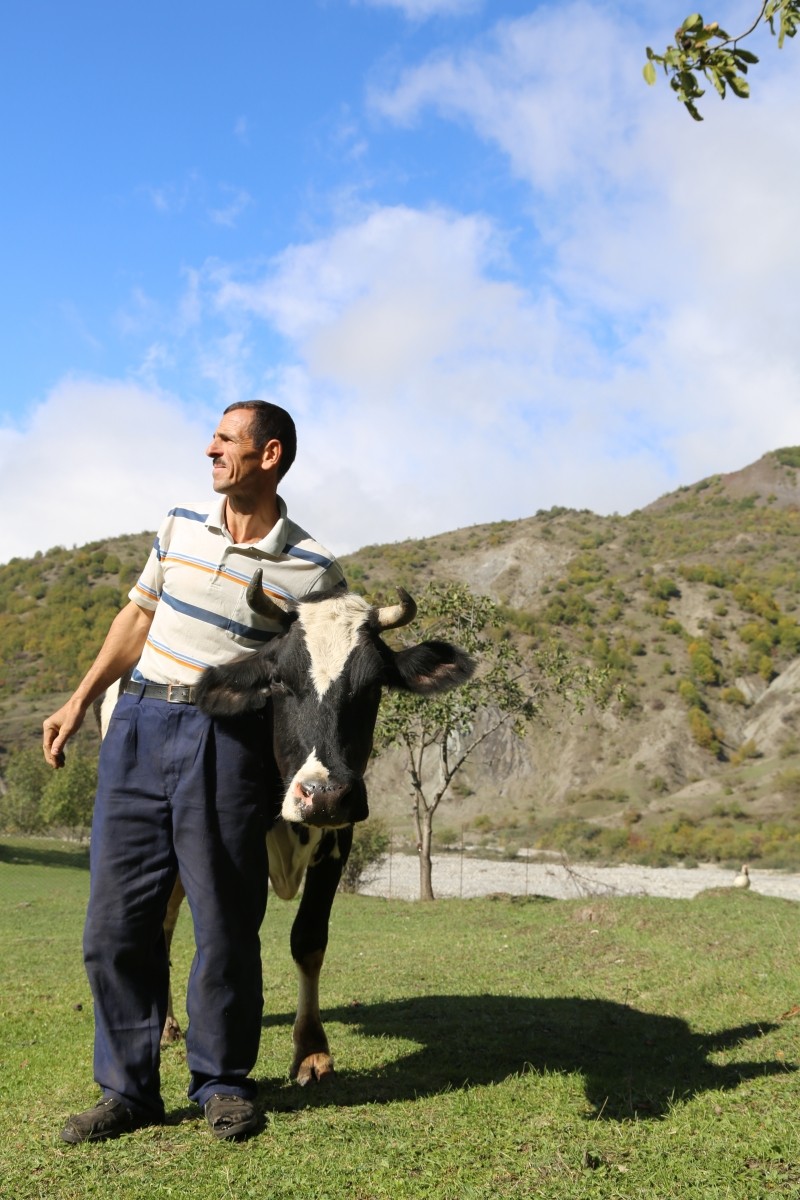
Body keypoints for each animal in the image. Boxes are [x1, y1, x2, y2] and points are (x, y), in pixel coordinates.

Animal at [98, 572, 474, 1085]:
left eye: (375, 684)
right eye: (278, 680)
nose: (324, 793)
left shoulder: (339, 840)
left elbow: (308, 940)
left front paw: (312, 1050)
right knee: (162, 925)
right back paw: (167, 1025)